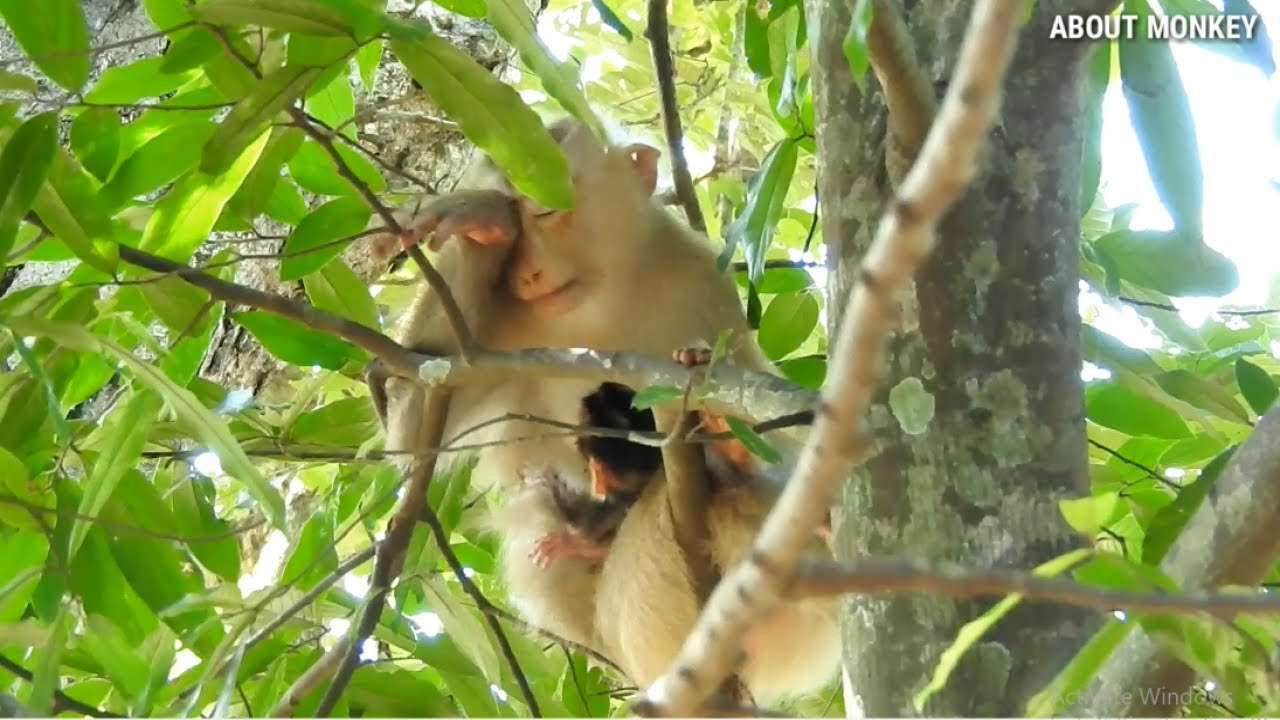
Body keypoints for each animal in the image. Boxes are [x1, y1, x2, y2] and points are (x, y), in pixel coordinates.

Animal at [366, 115, 841, 703]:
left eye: (545, 211)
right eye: (518, 218)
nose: (526, 273)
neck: (594, 301)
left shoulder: (694, 274)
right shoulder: (494, 329)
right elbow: (413, 423)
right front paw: (480, 223)